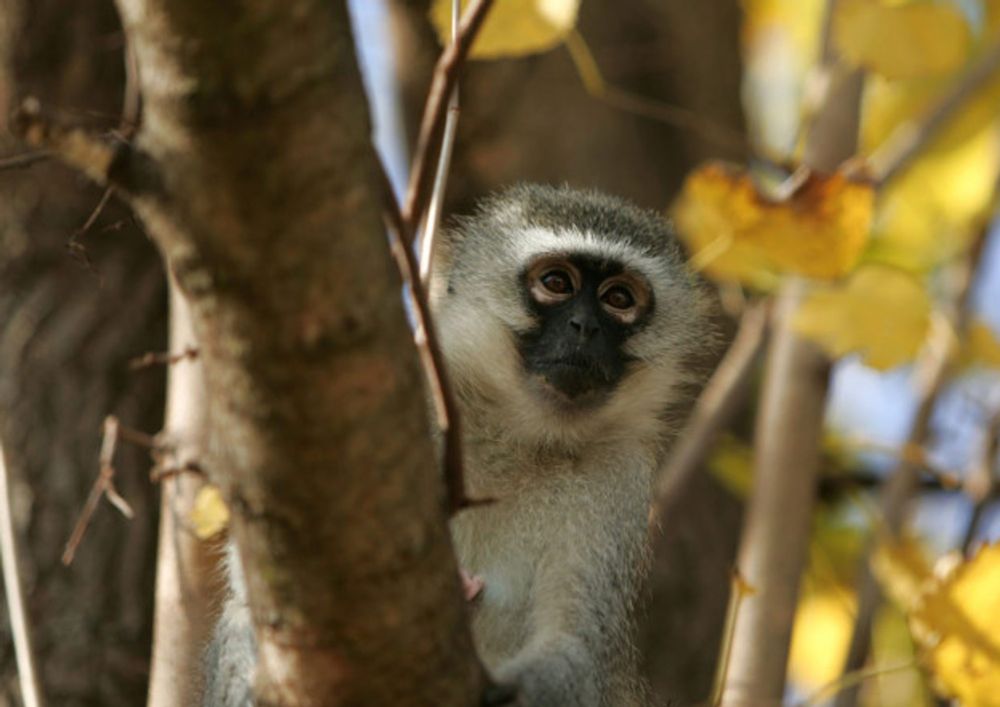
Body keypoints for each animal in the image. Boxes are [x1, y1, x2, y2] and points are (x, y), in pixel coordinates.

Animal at [201, 184, 712, 707]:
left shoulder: (617, 479)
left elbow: (580, 645)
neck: (521, 438)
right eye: (556, 282)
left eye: (619, 298)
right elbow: (256, 580)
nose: (584, 327)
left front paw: (518, 687)